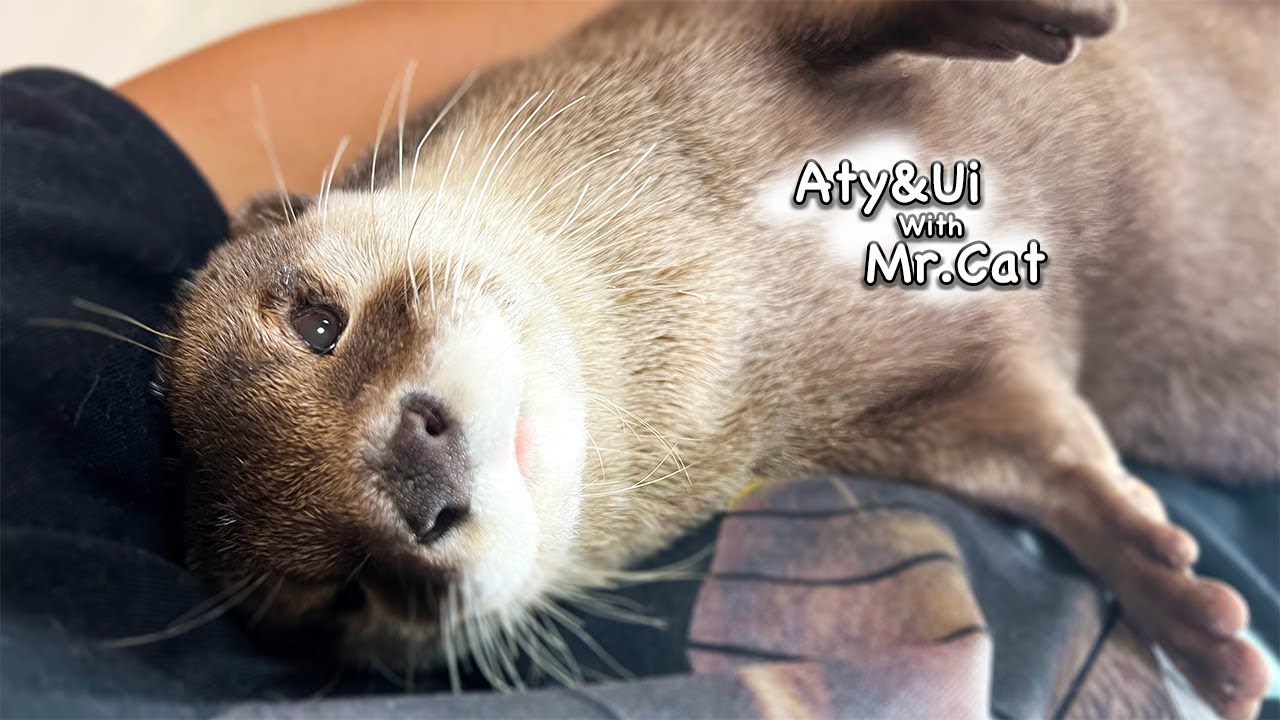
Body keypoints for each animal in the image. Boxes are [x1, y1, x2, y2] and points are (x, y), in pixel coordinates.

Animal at [159, 1, 1278, 717]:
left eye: (317, 324)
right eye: (347, 591)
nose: (418, 478)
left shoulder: (691, 31)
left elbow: (828, 20)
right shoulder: (914, 416)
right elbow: (1049, 464)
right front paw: (1180, 601)